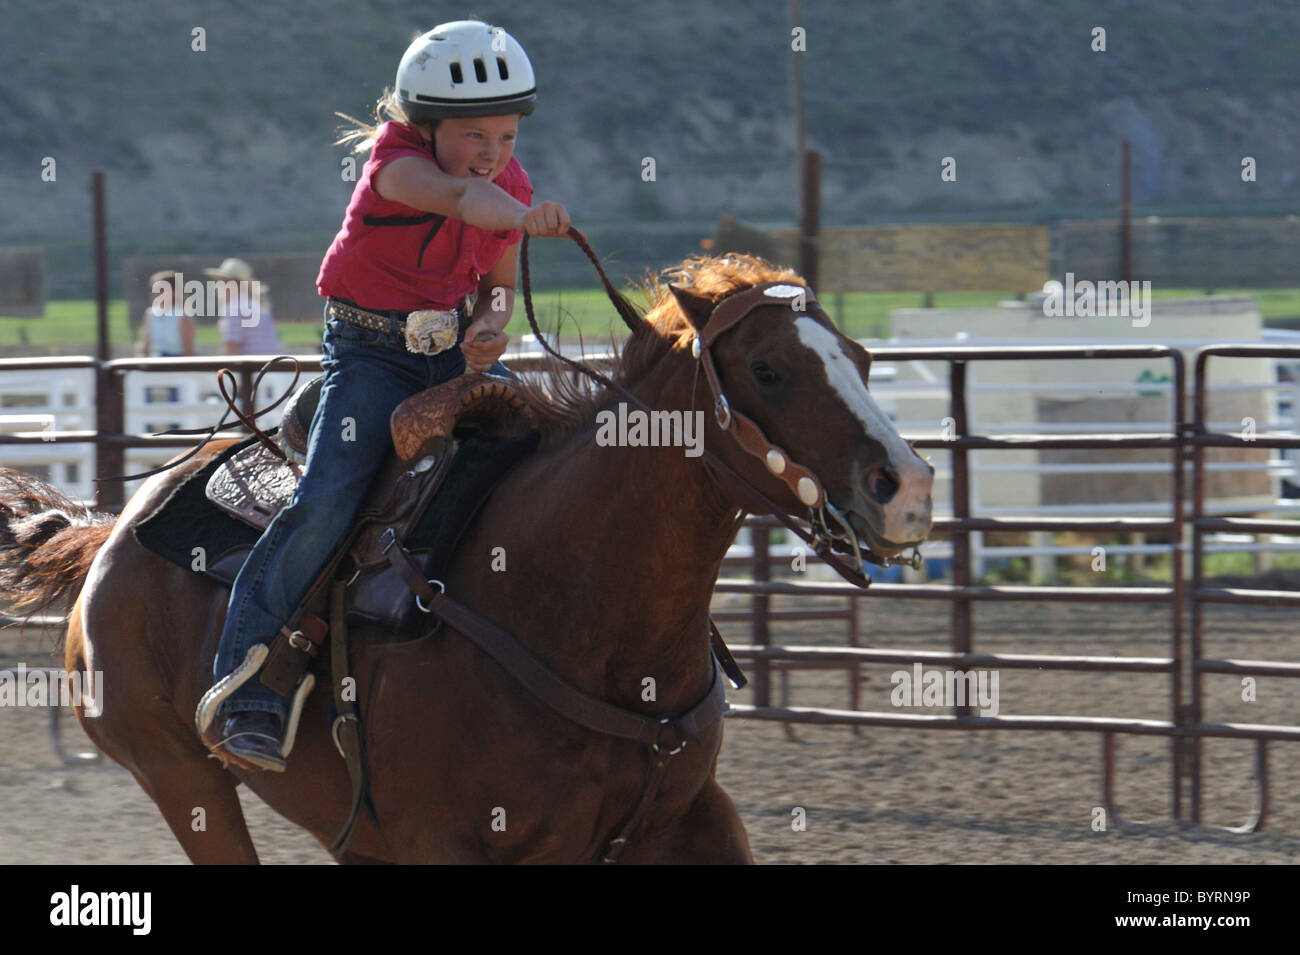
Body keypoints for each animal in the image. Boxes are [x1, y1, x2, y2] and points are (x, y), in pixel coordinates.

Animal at [0, 250, 934, 863]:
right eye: (769, 368)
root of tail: (115, 530)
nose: (910, 487)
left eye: (861, 356)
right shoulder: (447, 844)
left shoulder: (694, 817)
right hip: (181, 777)